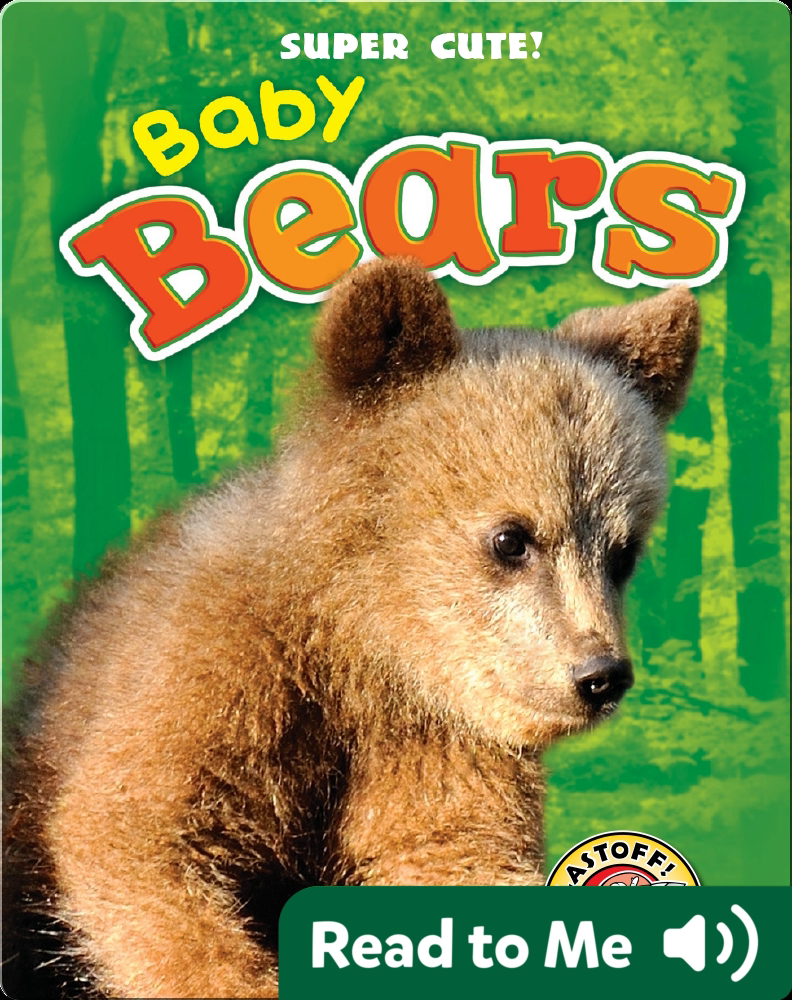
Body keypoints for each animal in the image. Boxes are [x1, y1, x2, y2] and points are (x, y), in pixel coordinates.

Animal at [3, 257, 700, 999]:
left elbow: (446, 852)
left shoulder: (428, 743)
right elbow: (139, 837)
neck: (363, 641)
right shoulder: (214, 676)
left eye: (623, 552)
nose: (600, 675)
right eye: (512, 537)